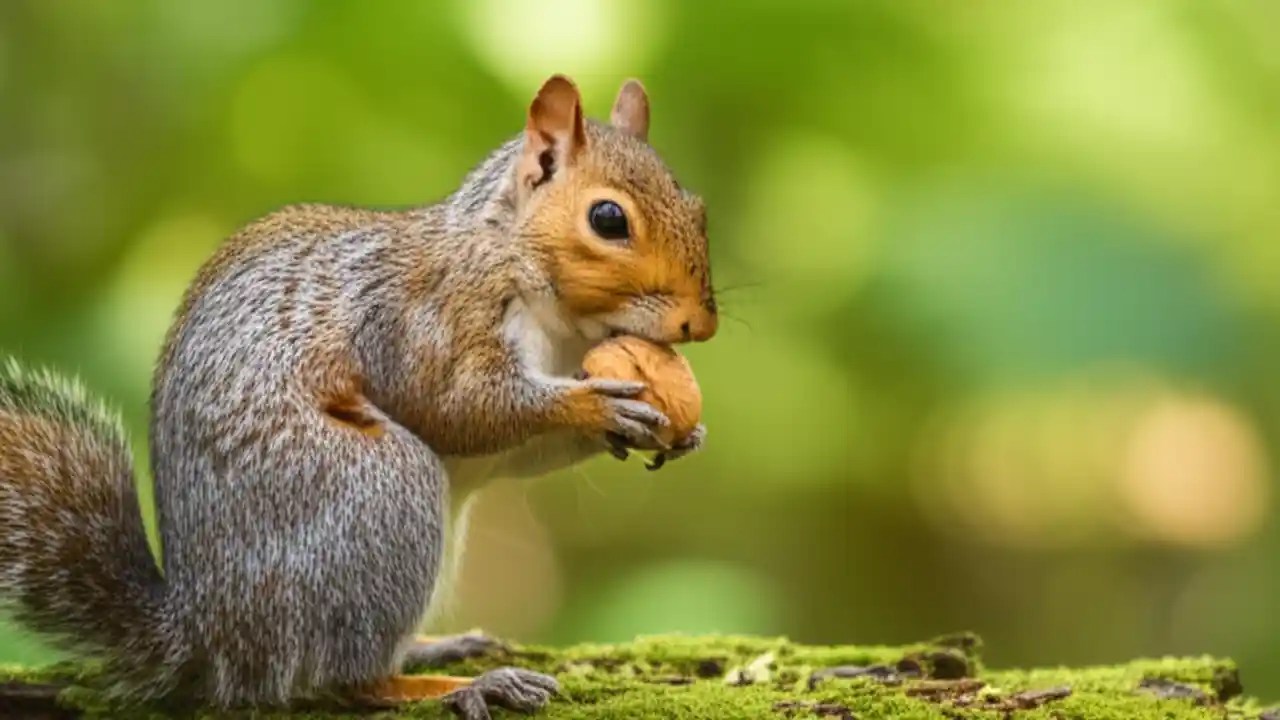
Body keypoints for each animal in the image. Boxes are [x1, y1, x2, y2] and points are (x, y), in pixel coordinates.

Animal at [0, 74, 716, 716]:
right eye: (607, 219)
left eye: (698, 210)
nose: (700, 325)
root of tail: (209, 637)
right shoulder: (425, 320)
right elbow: (461, 408)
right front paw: (596, 405)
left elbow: (517, 451)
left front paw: (669, 432)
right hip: (379, 491)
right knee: (348, 678)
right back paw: (464, 686)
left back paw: (438, 648)